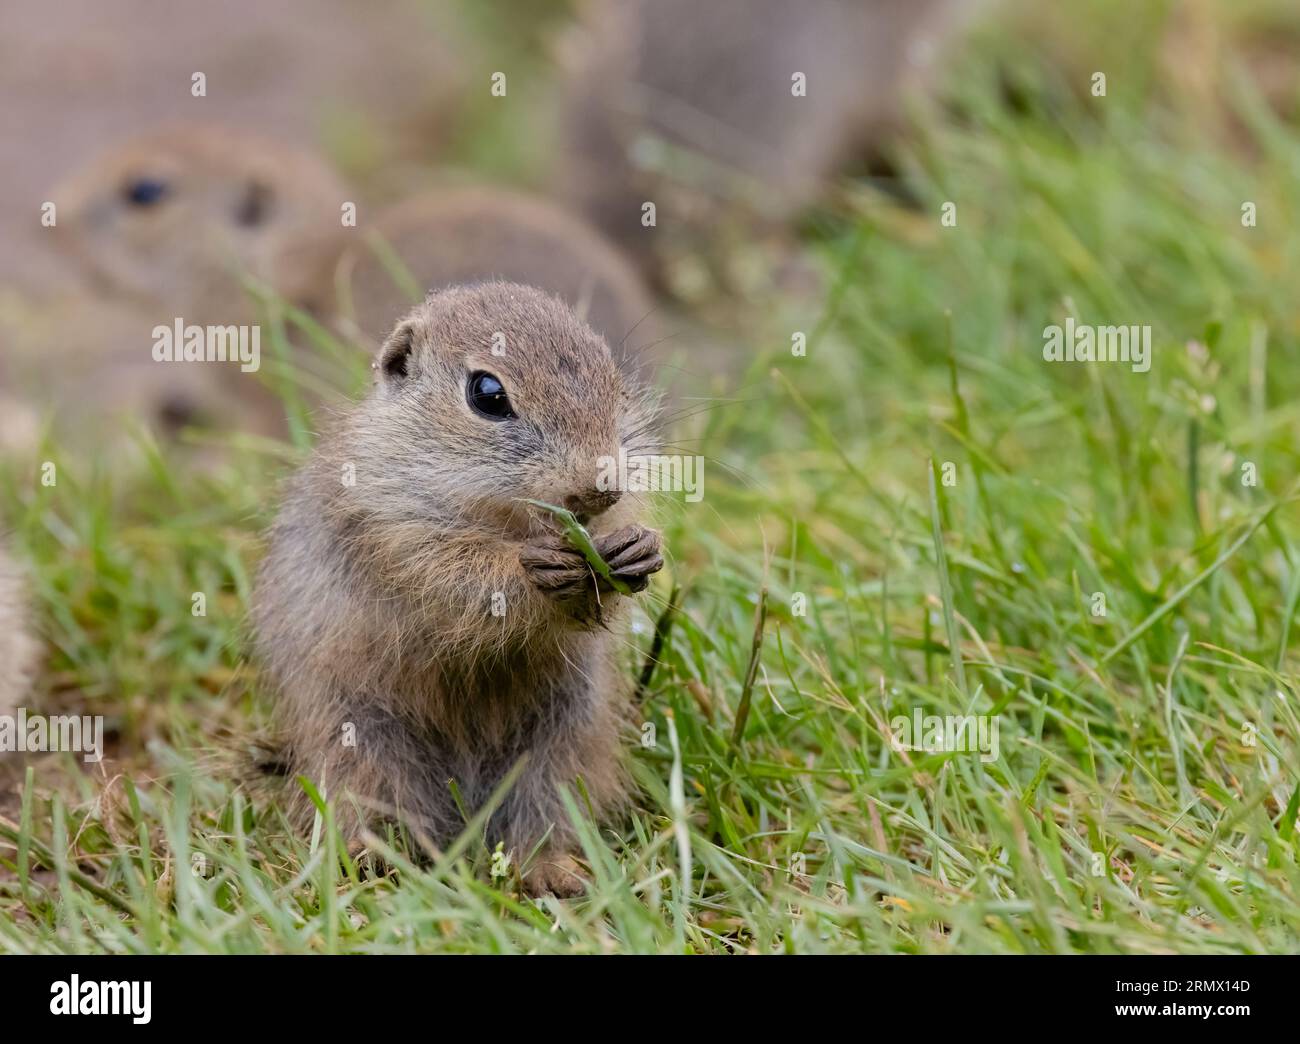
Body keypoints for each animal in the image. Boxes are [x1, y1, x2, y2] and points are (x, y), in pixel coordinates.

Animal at [253, 282, 665, 896]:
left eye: (611, 374)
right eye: (487, 394)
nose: (601, 487)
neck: (503, 516)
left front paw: (636, 550)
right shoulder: (389, 525)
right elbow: (454, 575)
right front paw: (532, 568)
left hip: (567, 737)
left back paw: (554, 871)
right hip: (356, 738)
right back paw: (374, 862)